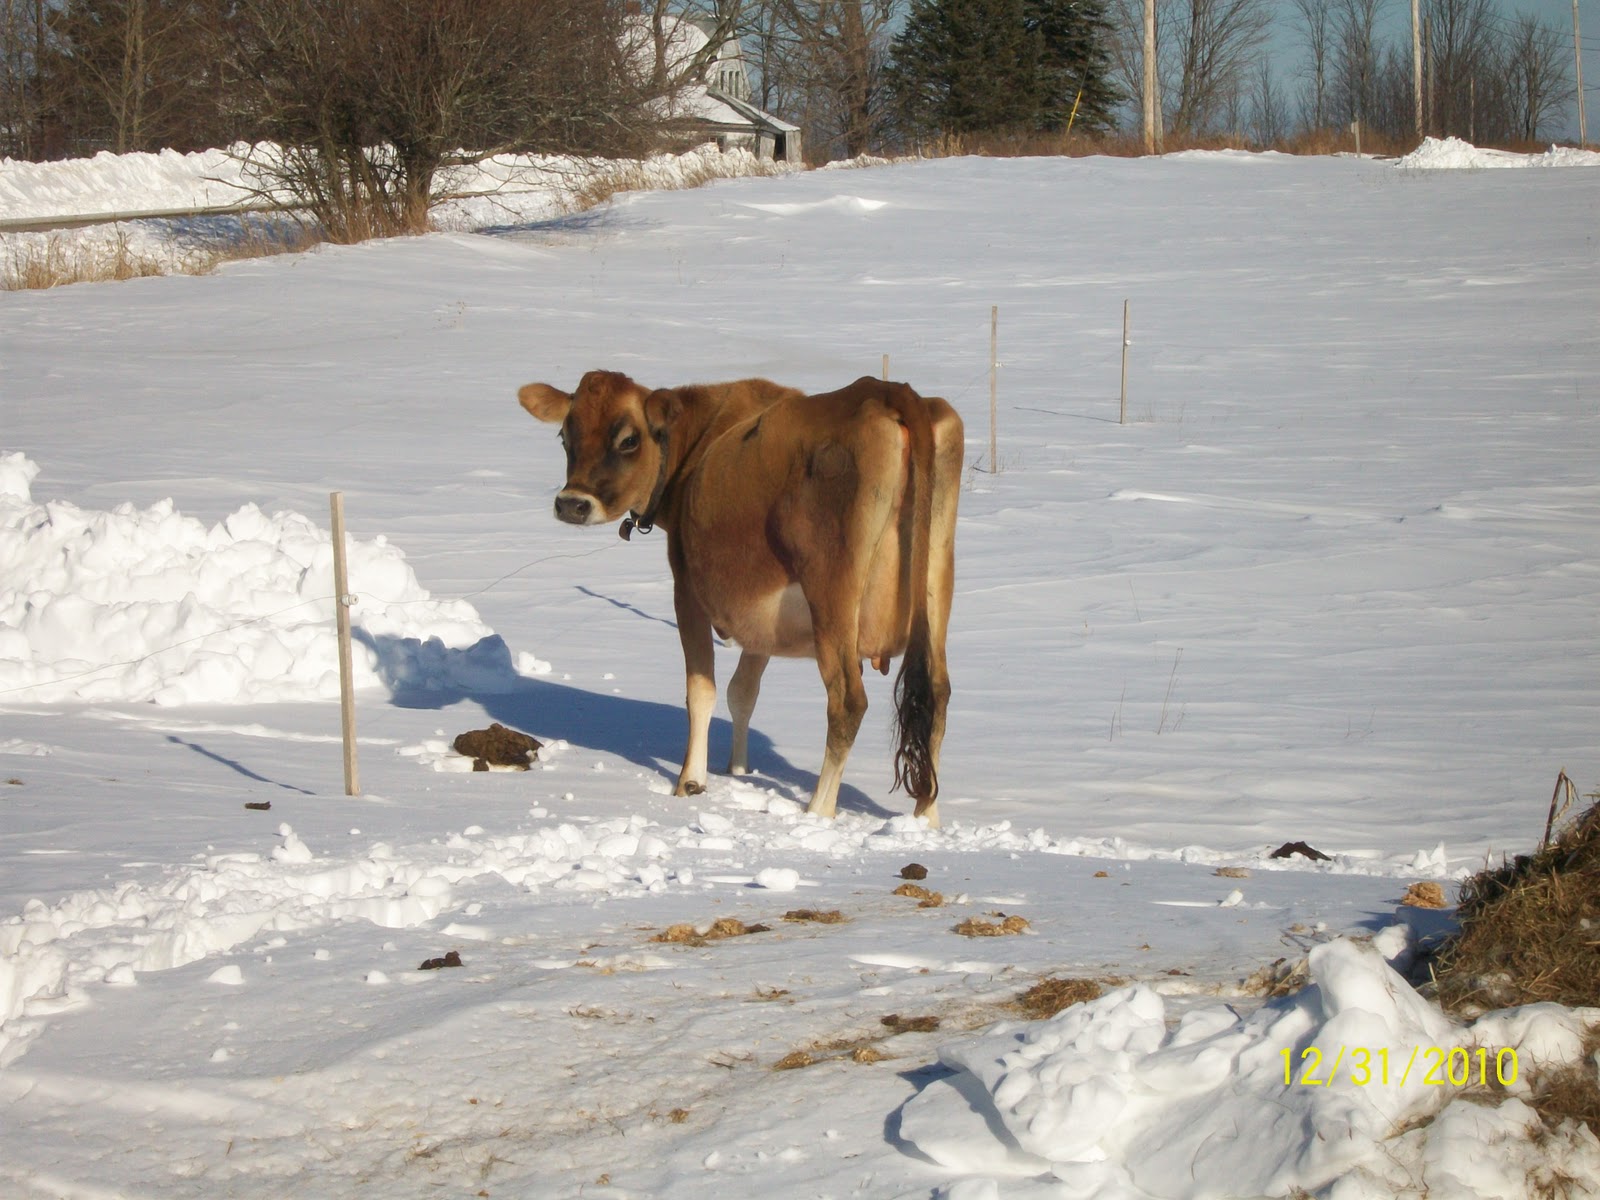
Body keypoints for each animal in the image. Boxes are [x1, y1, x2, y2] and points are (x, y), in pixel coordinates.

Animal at [518, 370, 961, 827]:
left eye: (628, 439)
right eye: (565, 435)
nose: (572, 504)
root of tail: (885, 389)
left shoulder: (687, 588)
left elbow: (702, 690)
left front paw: (691, 781)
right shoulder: (761, 618)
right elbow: (742, 692)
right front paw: (739, 769)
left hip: (832, 594)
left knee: (848, 701)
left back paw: (817, 810)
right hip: (936, 583)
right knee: (937, 696)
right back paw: (926, 815)